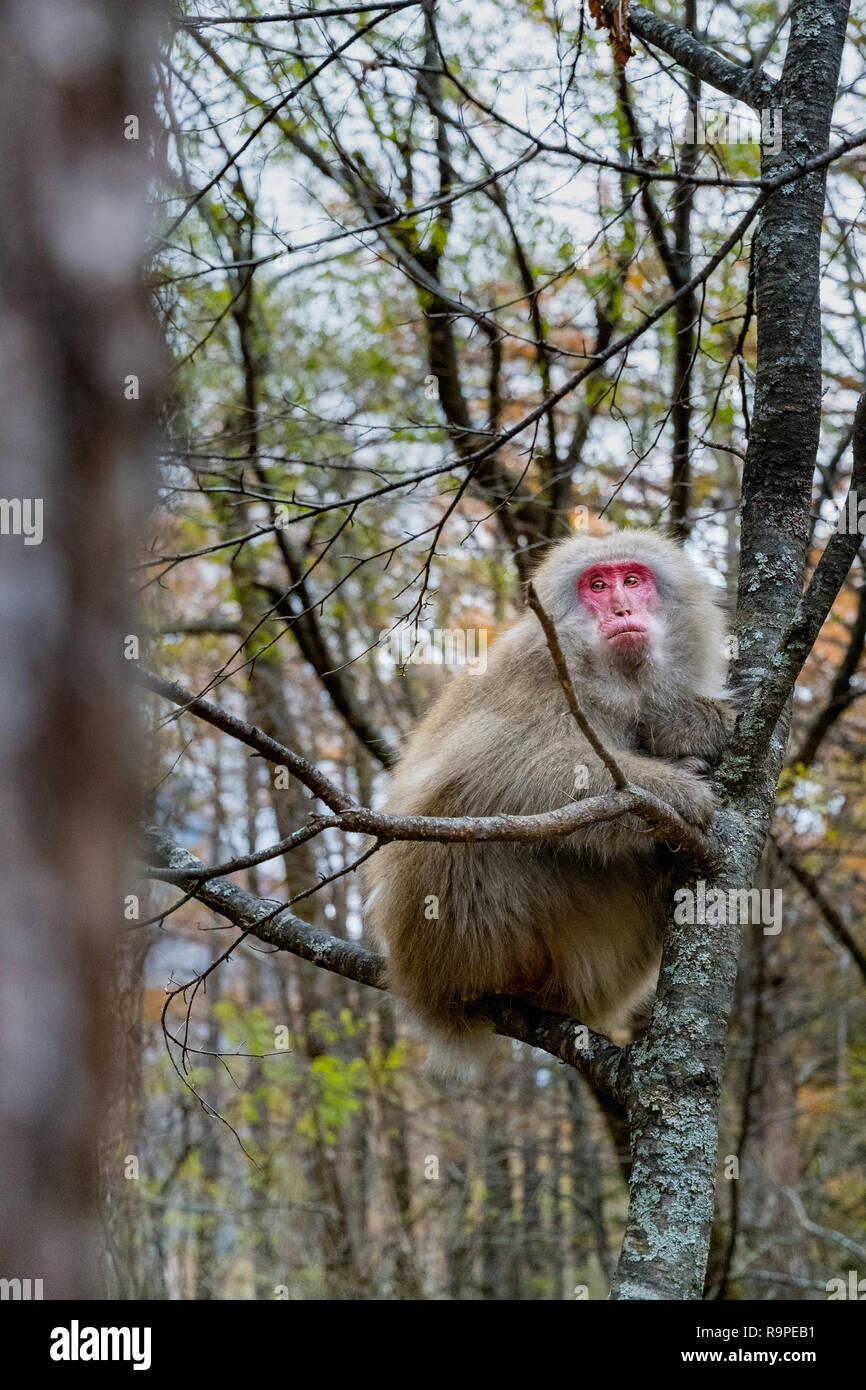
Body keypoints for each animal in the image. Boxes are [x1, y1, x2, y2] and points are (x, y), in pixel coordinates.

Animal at [363, 528, 733, 1067]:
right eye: (597, 586)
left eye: (631, 580)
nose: (621, 609)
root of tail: (426, 991)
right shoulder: (538, 669)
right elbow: (504, 764)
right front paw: (680, 789)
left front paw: (689, 725)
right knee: (467, 812)